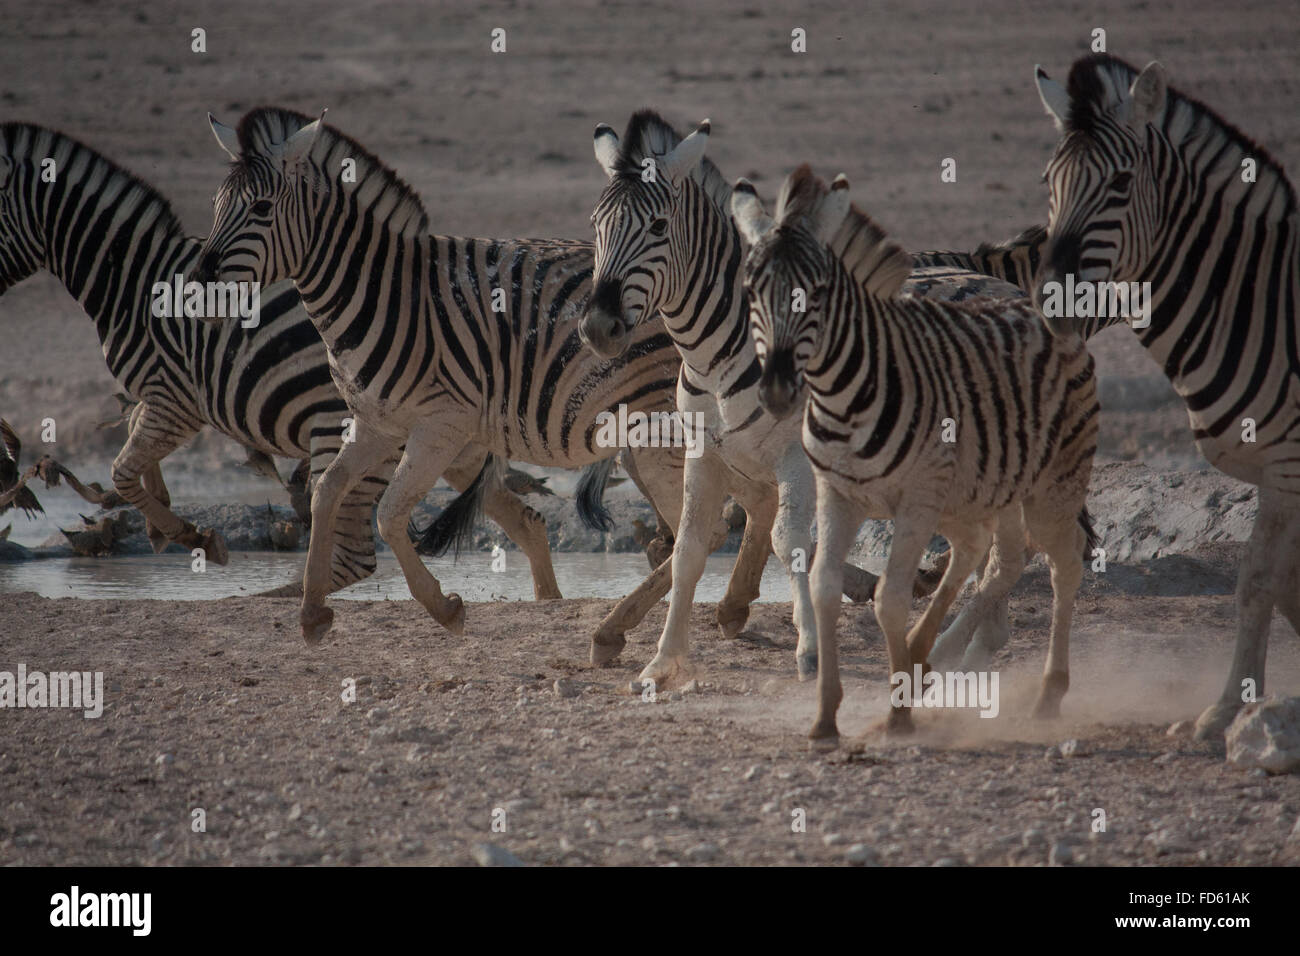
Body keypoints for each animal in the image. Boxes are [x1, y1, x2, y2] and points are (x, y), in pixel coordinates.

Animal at [0, 121, 573, 600]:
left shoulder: (175, 398)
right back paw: (545, 598)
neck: (132, 278)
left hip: (349, 434)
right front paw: (164, 524)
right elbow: (133, 458)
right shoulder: (157, 399)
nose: (196, 295)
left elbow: (122, 469)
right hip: (451, 442)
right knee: (524, 519)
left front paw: (190, 533)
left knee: (354, 556)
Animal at [192, 107, 766, 651]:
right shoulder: (377, 423)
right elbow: (325, 492)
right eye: (217, 204)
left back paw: (634, 625)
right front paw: (312, 614)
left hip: (657, 433)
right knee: (746, 504)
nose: (196, 285)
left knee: (712, 523)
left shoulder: (439, 425)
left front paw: (444, 608)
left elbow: (389, 513)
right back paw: (730, 608)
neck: (383, 293)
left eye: (261, 209)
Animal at [733, 166, 1099, 745]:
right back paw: (926, 660)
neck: (845, 394)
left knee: (1062, 561)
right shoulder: (838, 495)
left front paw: (897, 712)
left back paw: (1047, 693)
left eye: (817, 294)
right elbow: (825, 587)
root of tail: (1031, 306)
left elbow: (889, 599)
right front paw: (826, 716)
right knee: (984, 551)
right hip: (978, 490)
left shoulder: (915, 501)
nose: (775, 391)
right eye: (750, 291)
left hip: (1049, 485)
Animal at [1032, 53, 1300, 739]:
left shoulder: (1287, 462)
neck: (1257, 302)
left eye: (1122, 183)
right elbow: (1284, 583)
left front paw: (1226, 709)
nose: (1052, 305)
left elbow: (1258, 581)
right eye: (1049, 181)